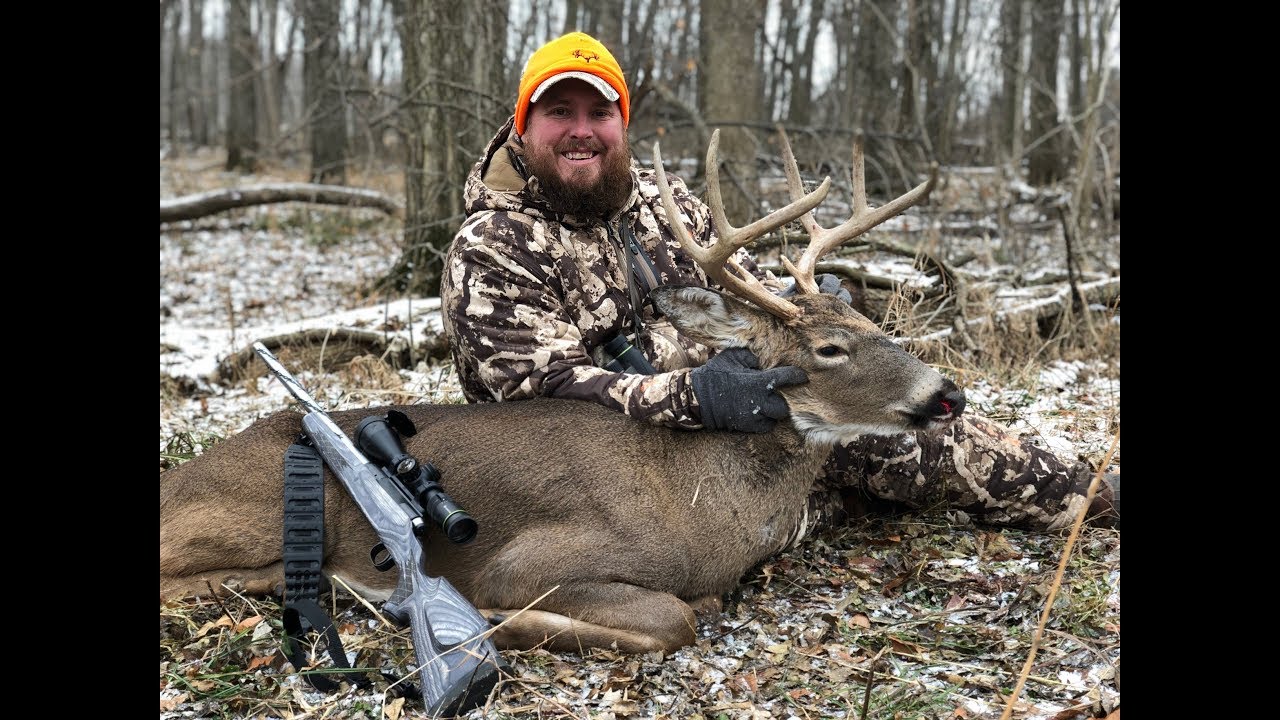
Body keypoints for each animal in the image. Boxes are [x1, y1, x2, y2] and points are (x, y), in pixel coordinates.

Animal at [159, 128, 963, 654]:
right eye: (829, 348)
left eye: (869, 321)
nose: (946, 393)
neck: (704, 500)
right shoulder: (532, 560)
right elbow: (676, 618)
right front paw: (498, 624)